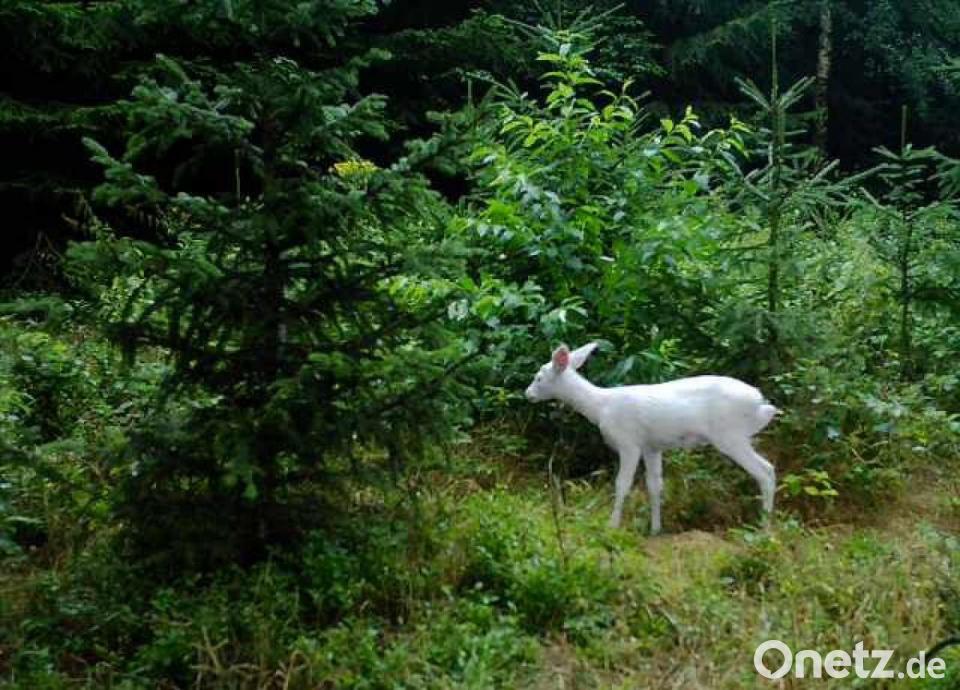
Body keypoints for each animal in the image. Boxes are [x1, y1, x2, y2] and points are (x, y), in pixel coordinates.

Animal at [525, 342, 778, 535]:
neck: (600, 407)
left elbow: (622, 484)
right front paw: (655, 529)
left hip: (730, 434)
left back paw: (764, 529)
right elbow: (654, 485)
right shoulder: (652, 446)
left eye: (539, 377)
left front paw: (612, 526)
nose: (528, 394)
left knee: (765, 470)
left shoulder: (629, 442)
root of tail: (760, 402)